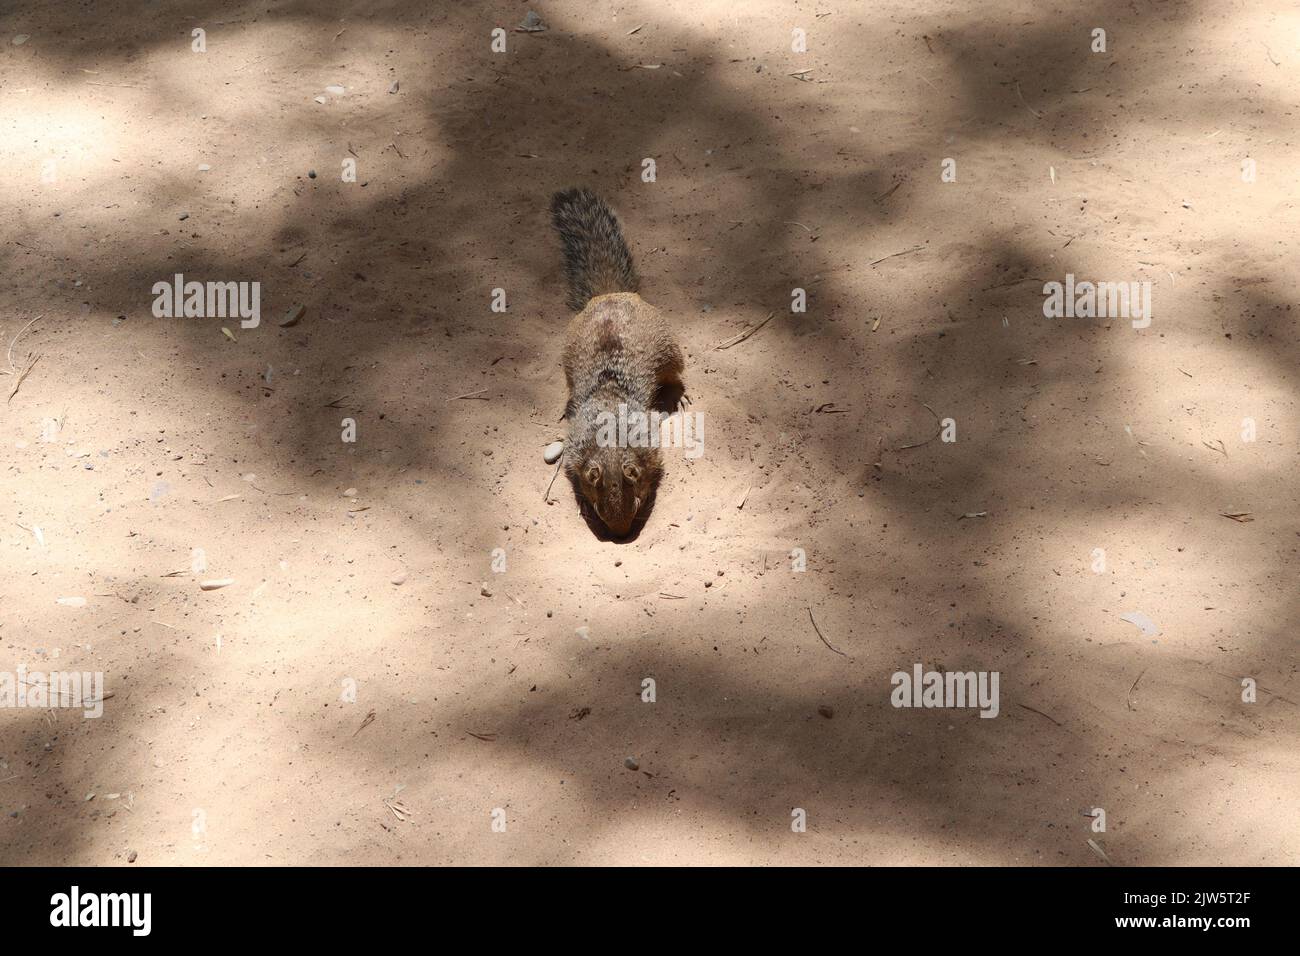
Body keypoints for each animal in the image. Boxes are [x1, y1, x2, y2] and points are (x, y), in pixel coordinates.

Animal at [550, 187, 686, 538]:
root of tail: (610, 294)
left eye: (637, 502)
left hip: (670, 350)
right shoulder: (575, 452)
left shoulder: (650, 448)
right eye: (598, 508)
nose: (620, 537)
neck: (610, 448)